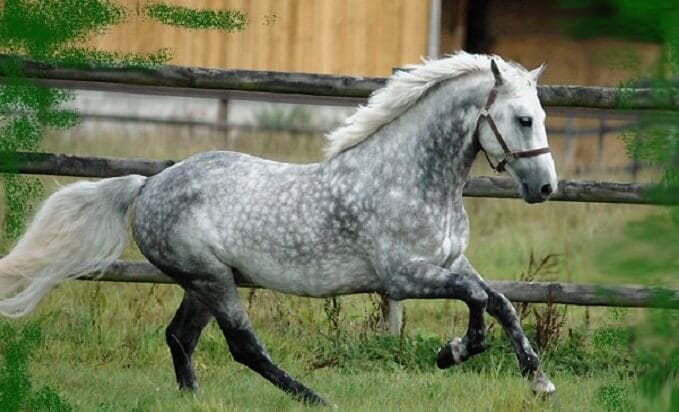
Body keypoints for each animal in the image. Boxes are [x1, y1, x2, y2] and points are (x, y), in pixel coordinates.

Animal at [0, 52, 558, 405]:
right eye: (524, 119)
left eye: (541, 116)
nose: (547, 187)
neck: (410, 178)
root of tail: (150, 183)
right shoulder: (403, 277)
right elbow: (477, 298)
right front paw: (452, 353)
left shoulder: (450, 260)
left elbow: (501, 301)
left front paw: (538, 381)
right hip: (211, 279)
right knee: (243, 346)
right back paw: (316, 399)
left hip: (204, 282)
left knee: (180, 337)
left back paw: (195, 399)